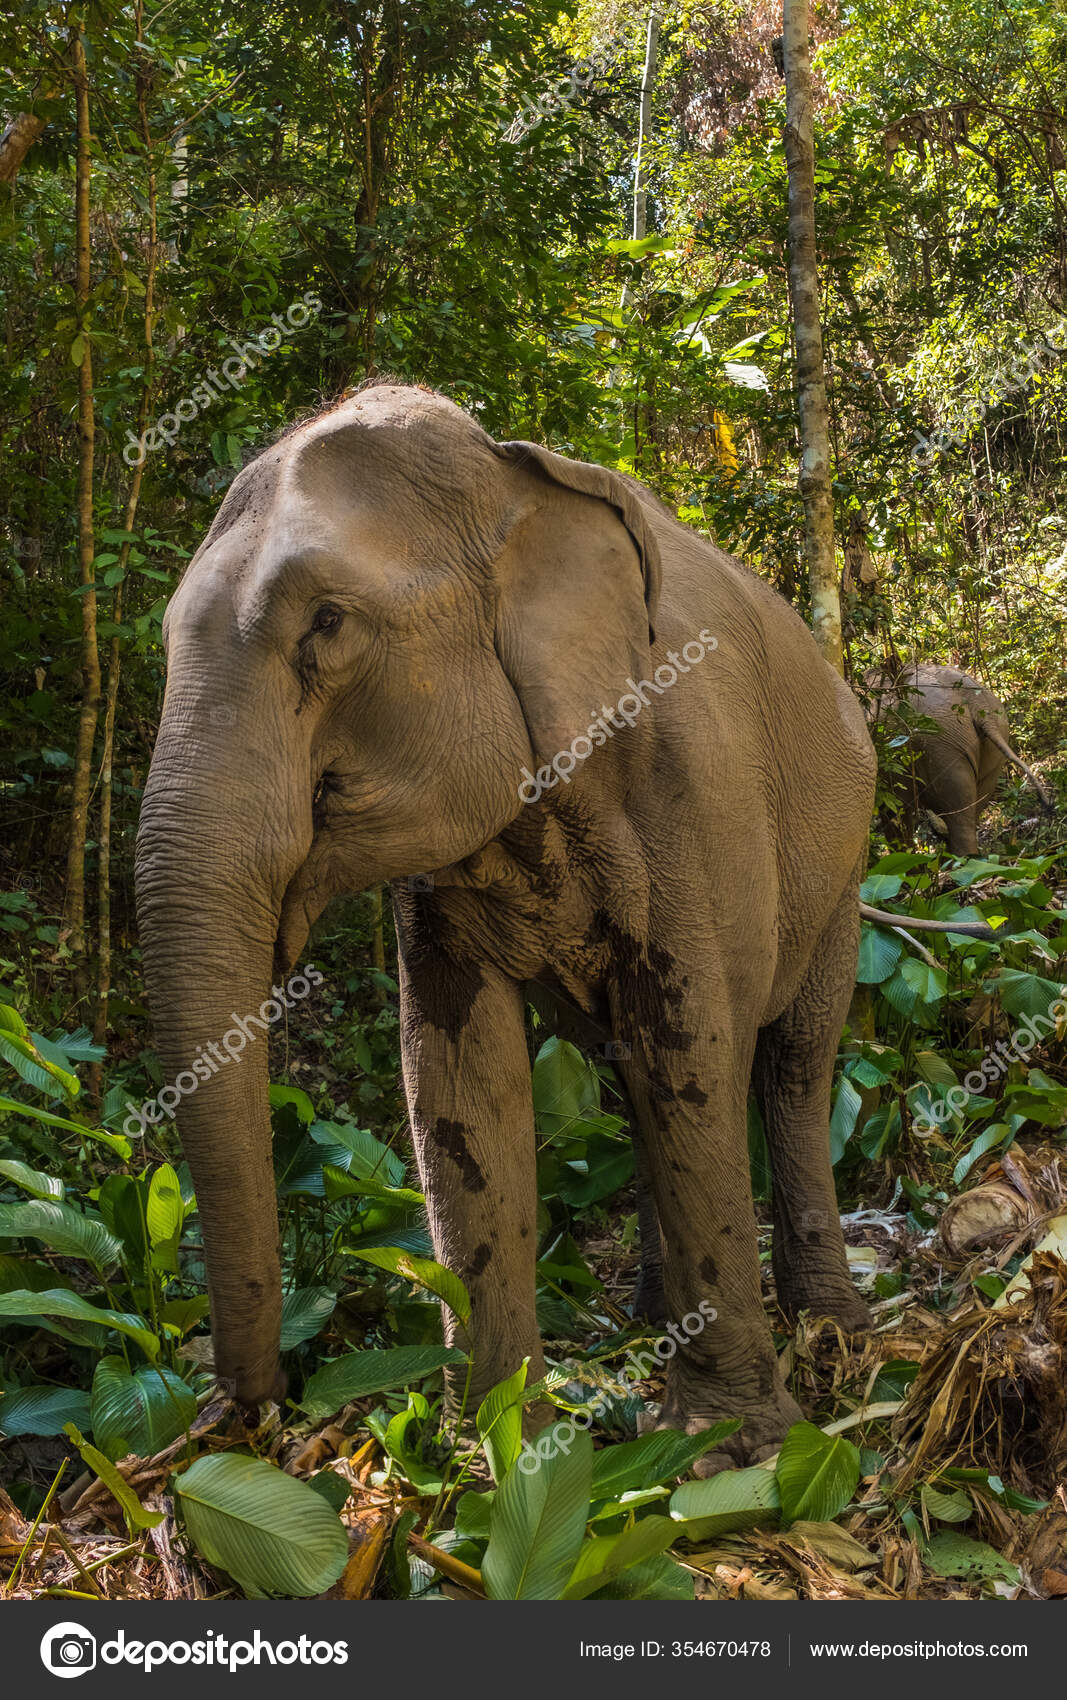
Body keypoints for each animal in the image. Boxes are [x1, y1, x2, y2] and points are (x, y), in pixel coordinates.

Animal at [136, 382, 878, 1467]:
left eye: (326, 622)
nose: (250, 1418)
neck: (516, 481)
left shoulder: (697, 782)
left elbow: (691, 1038)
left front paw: (727, 1447)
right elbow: (456, 1074)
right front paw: (501, 1447)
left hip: (845, 868)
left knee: (789, 1062)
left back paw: (831, 1329)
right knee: (628, 1079)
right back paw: (650, 1319)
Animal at [865, 661, 1053, 856]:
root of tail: (979, 705)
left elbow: (894, 810)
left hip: (941, 743)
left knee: (957, 815)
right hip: (992, 743)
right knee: (974, 806)